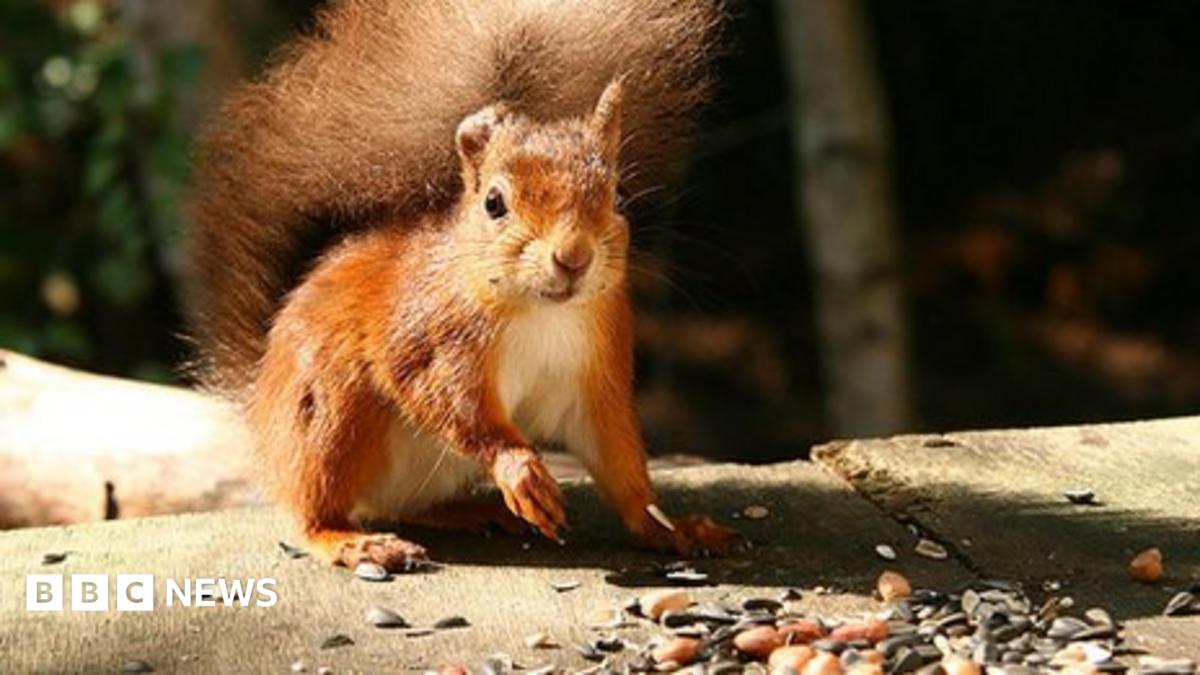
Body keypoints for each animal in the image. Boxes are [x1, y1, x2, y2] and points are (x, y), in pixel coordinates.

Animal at [184, 0, 736, 570]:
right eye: (494, 203)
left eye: (617, 196)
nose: (573, 258)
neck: (541, 313)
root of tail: (260, 410)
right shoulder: (432, 339)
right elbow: (451, 404)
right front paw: (520, 469)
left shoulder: (593, 377)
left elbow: (619, 460)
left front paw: (671, 529)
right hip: (332, 416)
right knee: (311, 510)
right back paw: (352, 540)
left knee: (407, 504)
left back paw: (469, 512)